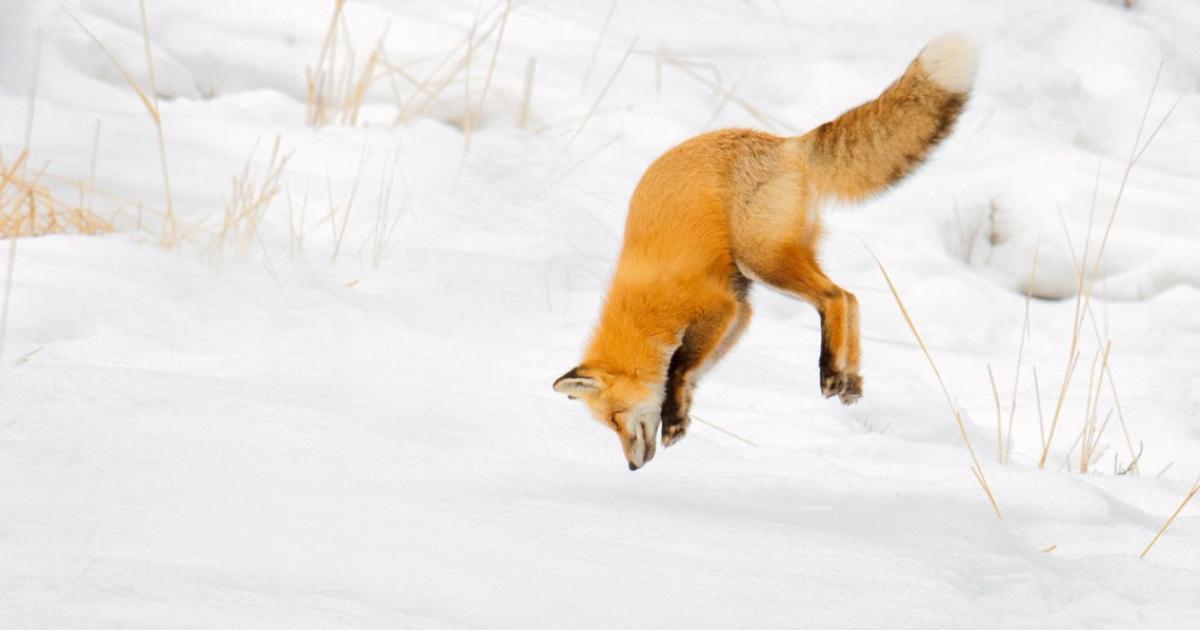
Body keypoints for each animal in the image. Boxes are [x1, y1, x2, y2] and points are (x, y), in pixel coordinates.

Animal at [553, 34, 980, 471]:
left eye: (616, 419)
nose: (632, 466)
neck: (643, 312)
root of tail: (785, 144)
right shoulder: (739, 313)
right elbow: (690, 373)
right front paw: (680, 416)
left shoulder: (719, 305)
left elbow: (679, 367)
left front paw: (673, 418)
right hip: (776, 261)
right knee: (852, 298)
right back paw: (851, 380)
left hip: (761, 260)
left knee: (835, 297)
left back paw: (830, 370)